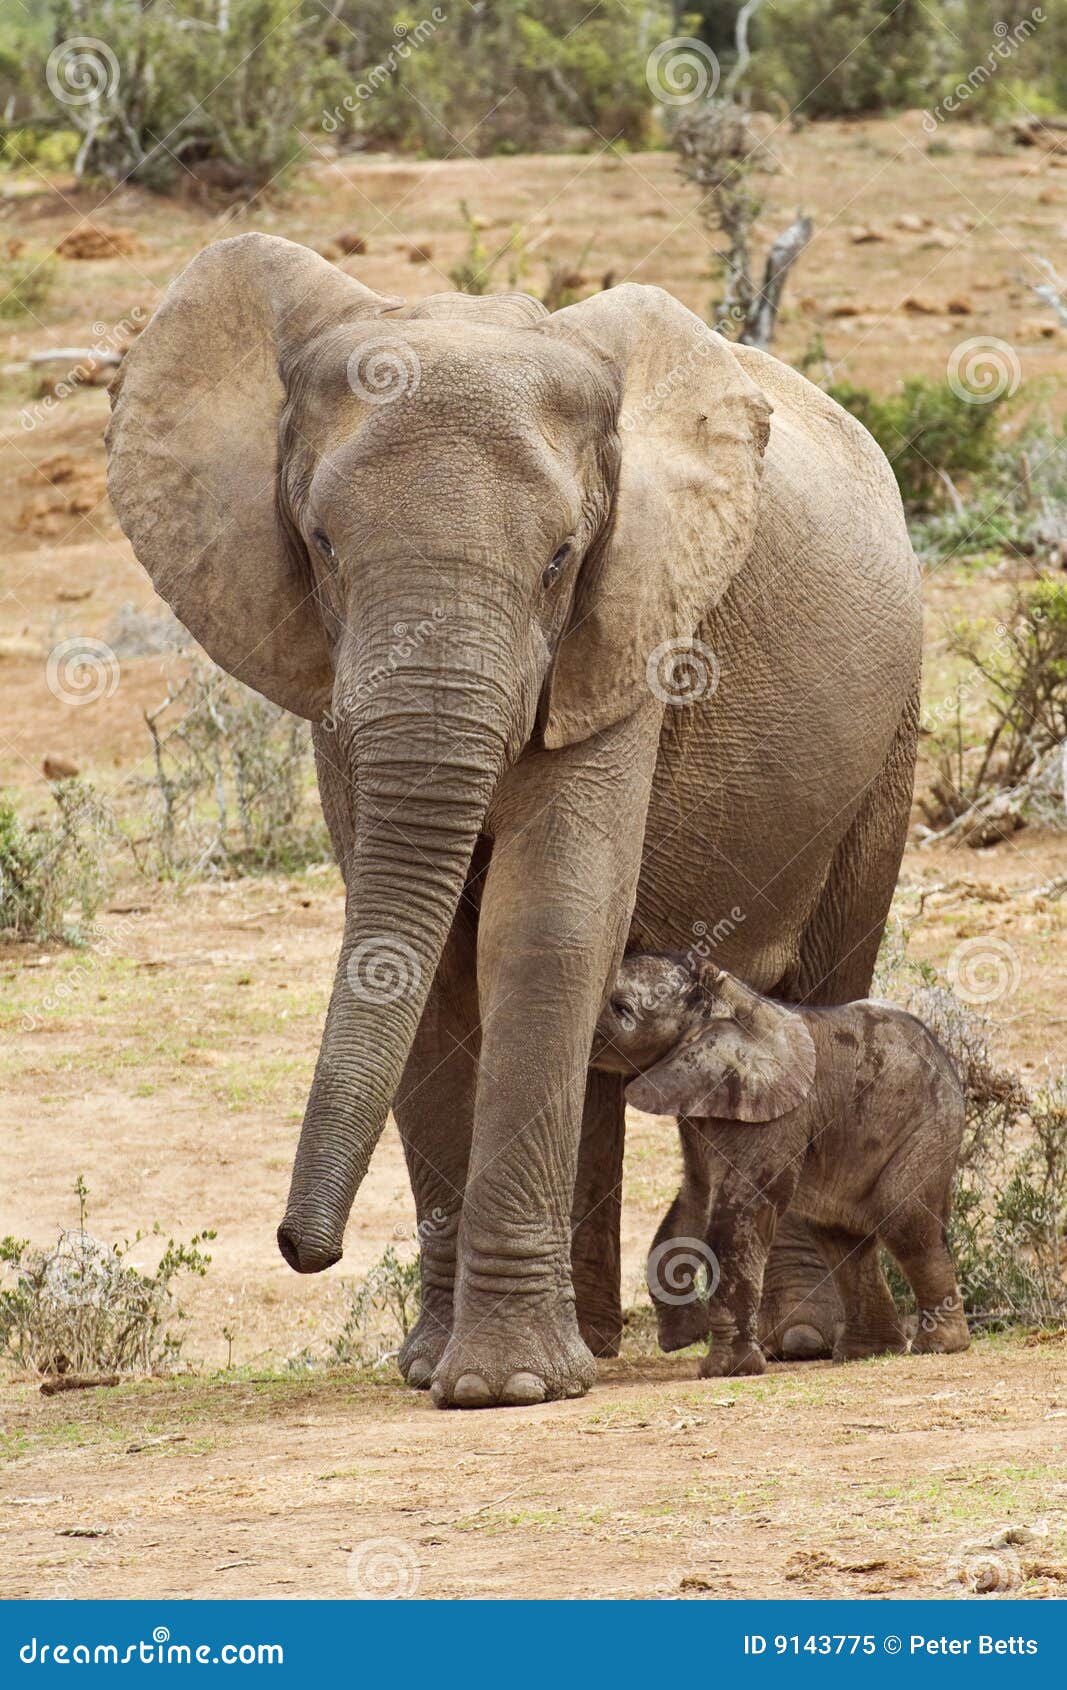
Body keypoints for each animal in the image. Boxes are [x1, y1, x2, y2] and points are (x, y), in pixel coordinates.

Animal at [105, 232, 922, 1409]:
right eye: (321, 544)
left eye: (557, 560)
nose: (303, 1247)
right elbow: (424, 955)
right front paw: (442, 1370)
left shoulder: (629, 627)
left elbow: (548, 922)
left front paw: (502, 1387)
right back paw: (596, 1343)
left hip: (886, 740)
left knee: (821, 984)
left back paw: (799, 1341)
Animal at [593, 954, 970, 1377]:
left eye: (621, 1007)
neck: (720, 1000)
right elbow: (693, 1200)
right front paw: (682, 1337)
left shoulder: (774, 1113)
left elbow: (738, 1214)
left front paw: (725, 1370)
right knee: (841, 1240)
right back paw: (866, 1352)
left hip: (928, 1128)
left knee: (904, 1223)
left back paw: (940, 1346)